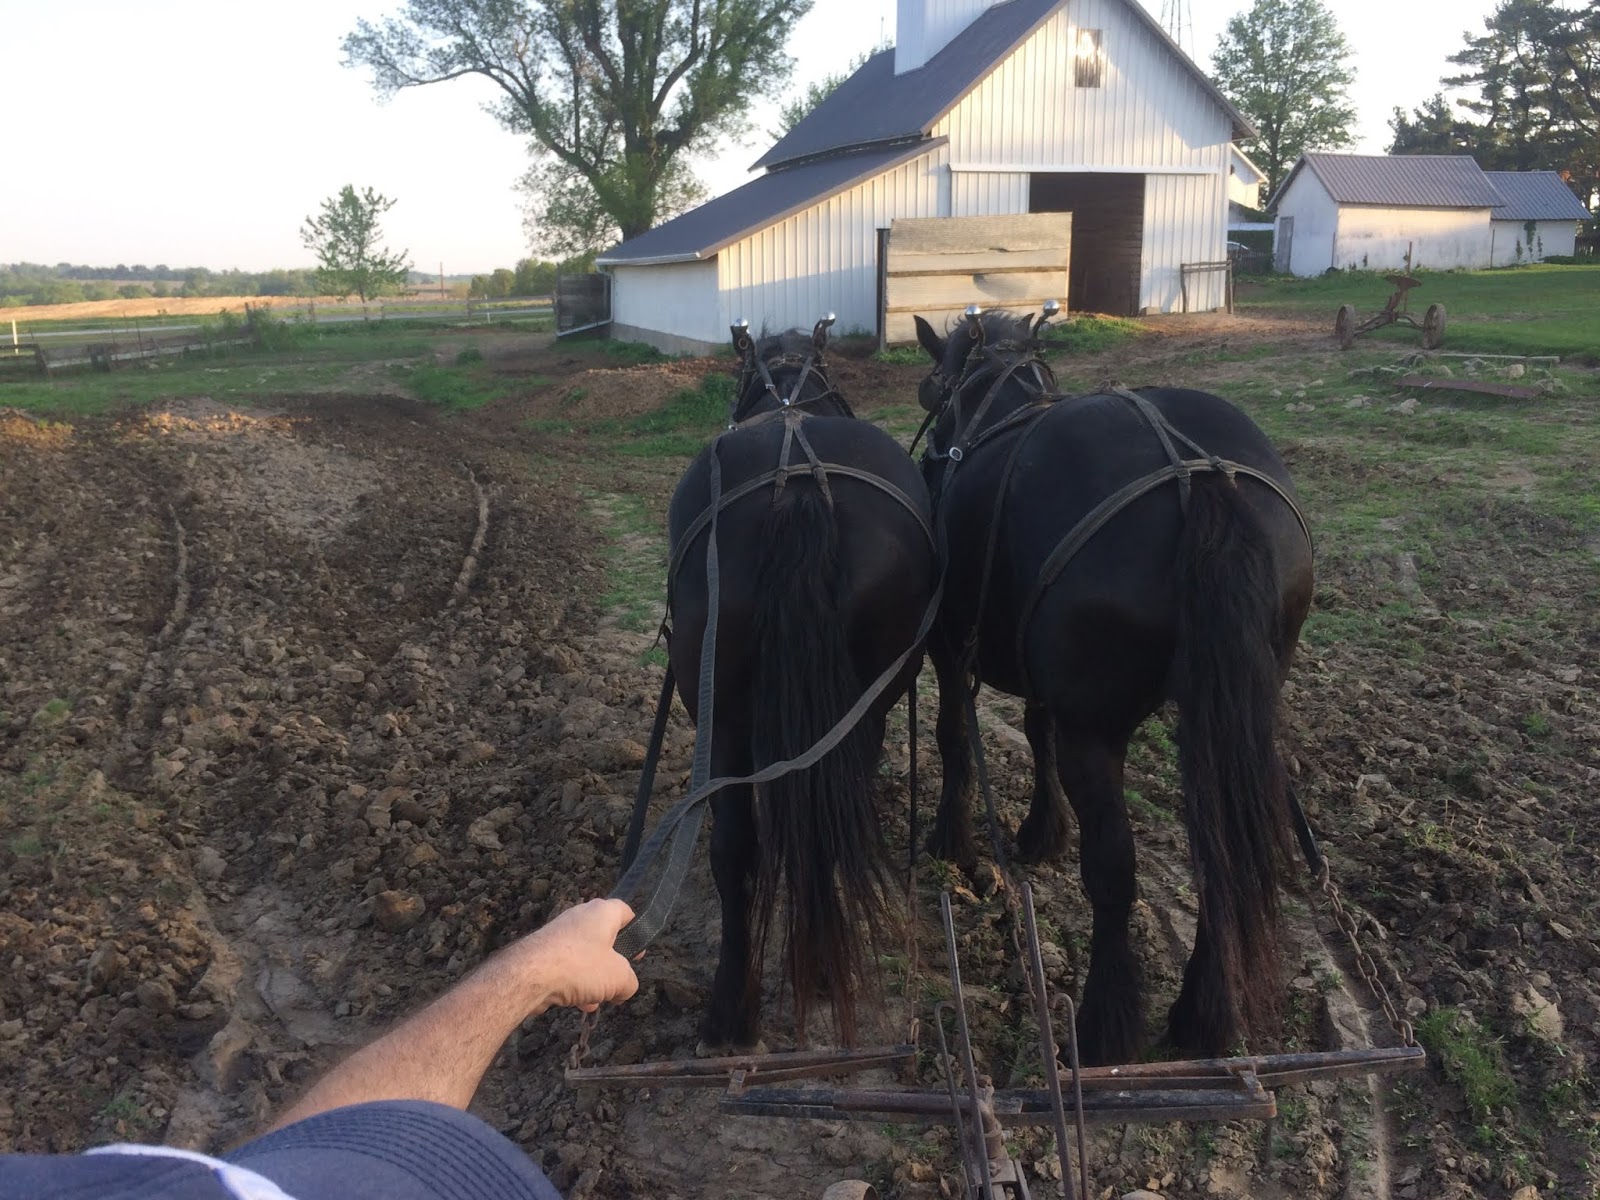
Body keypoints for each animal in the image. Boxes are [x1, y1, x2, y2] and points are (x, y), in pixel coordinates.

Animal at [662, 317, 938, 1049]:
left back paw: (742, 1006)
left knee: (746, 844)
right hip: (854, 710)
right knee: (804, 831)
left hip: (726, 712)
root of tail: (802, 487)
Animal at [912, 307, 1314, 1065]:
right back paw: (1203, 1015)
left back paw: (1104, 1022)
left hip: (1097, 732)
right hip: (1226, 712)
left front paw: (953, 835)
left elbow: (954, 735)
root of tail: (1199, 479)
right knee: (1220, 853)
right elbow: (1034, 731)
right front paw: (1042, 830)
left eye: (933, 390)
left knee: (1114, 873)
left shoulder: (951, 647)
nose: (927, 463)